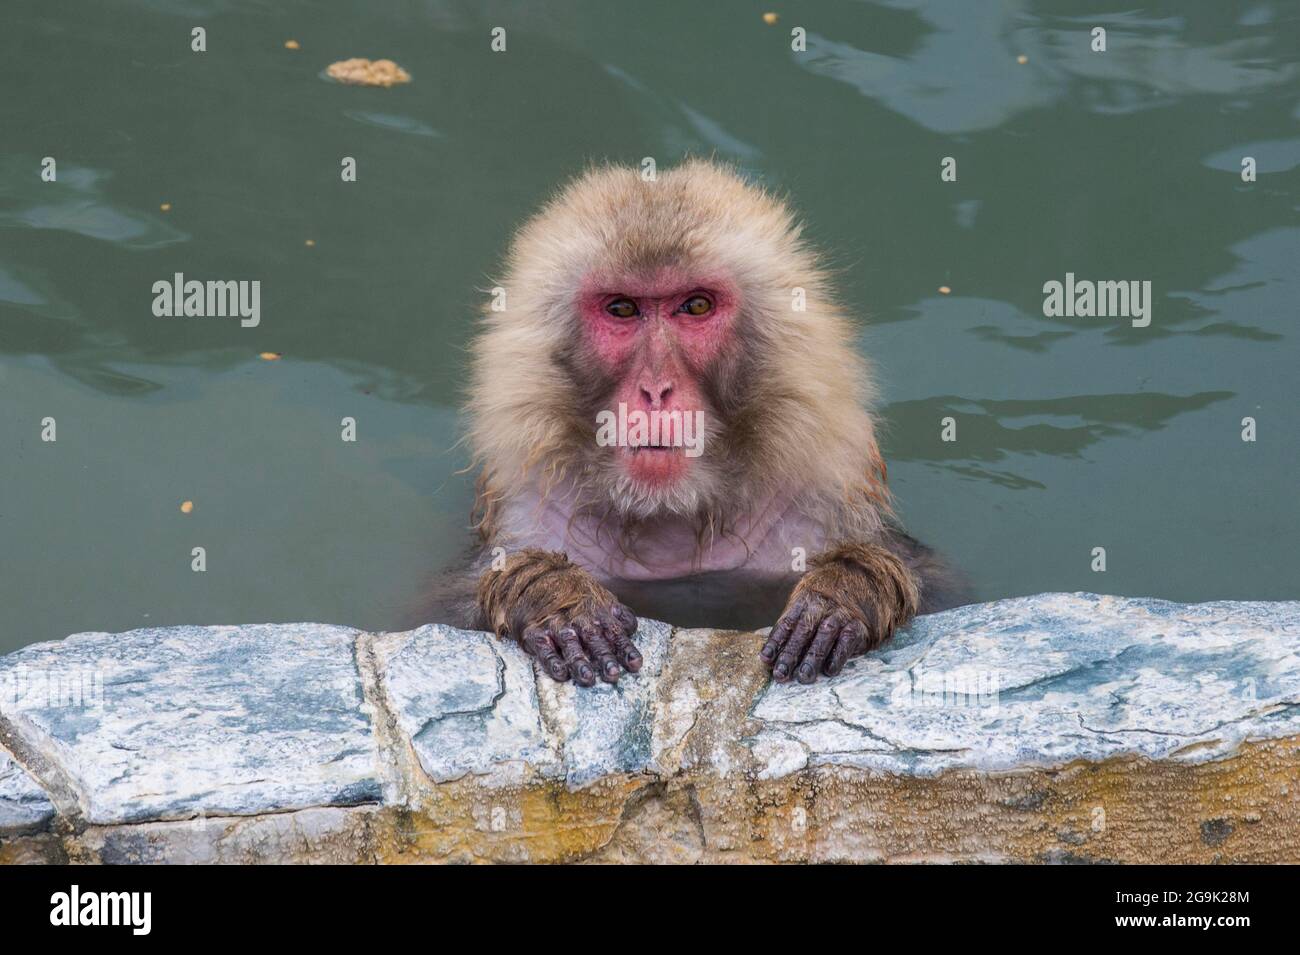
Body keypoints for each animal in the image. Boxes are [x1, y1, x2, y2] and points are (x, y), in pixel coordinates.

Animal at [423, 159, 969, 688]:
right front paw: (551, 593)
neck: (673, 515)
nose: (656, 389)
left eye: (697, 305)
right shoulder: (527, 515)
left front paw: (845, 591)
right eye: (622, 308)